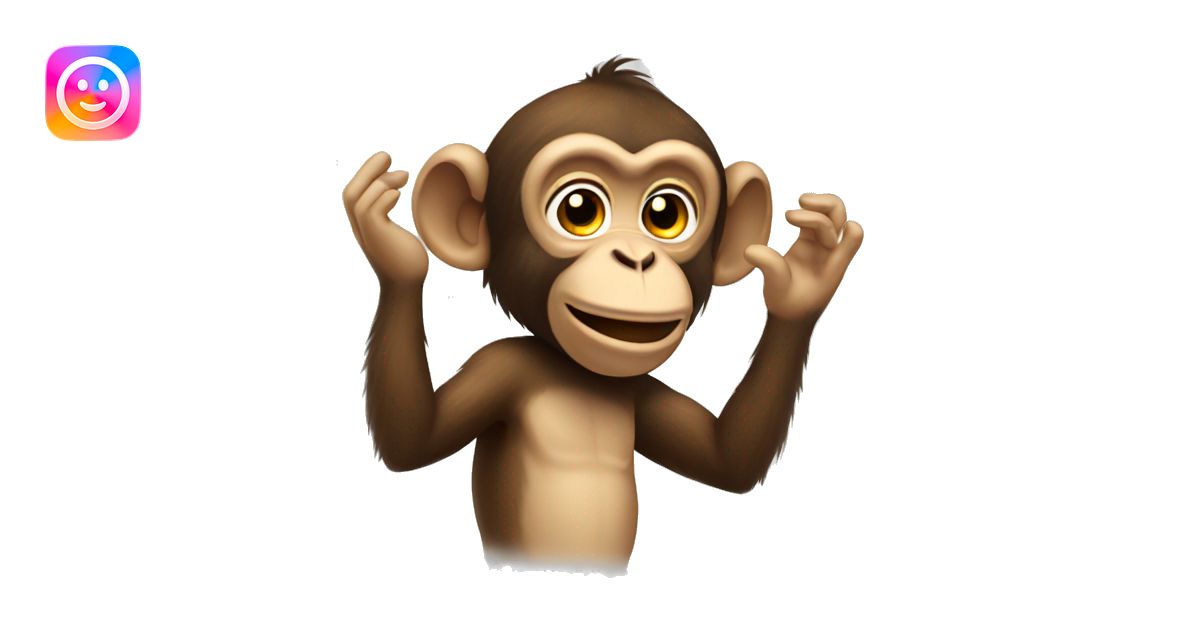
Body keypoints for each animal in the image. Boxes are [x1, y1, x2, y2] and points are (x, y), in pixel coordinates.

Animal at [341, 57, 863, 574]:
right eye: (579, 209)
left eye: (665, 214)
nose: (636, 257)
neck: (578, 373)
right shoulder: (502, 366)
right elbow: (414, 441)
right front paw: (393, 248)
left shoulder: (640, 389)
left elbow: (726, 459)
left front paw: (806, 277)